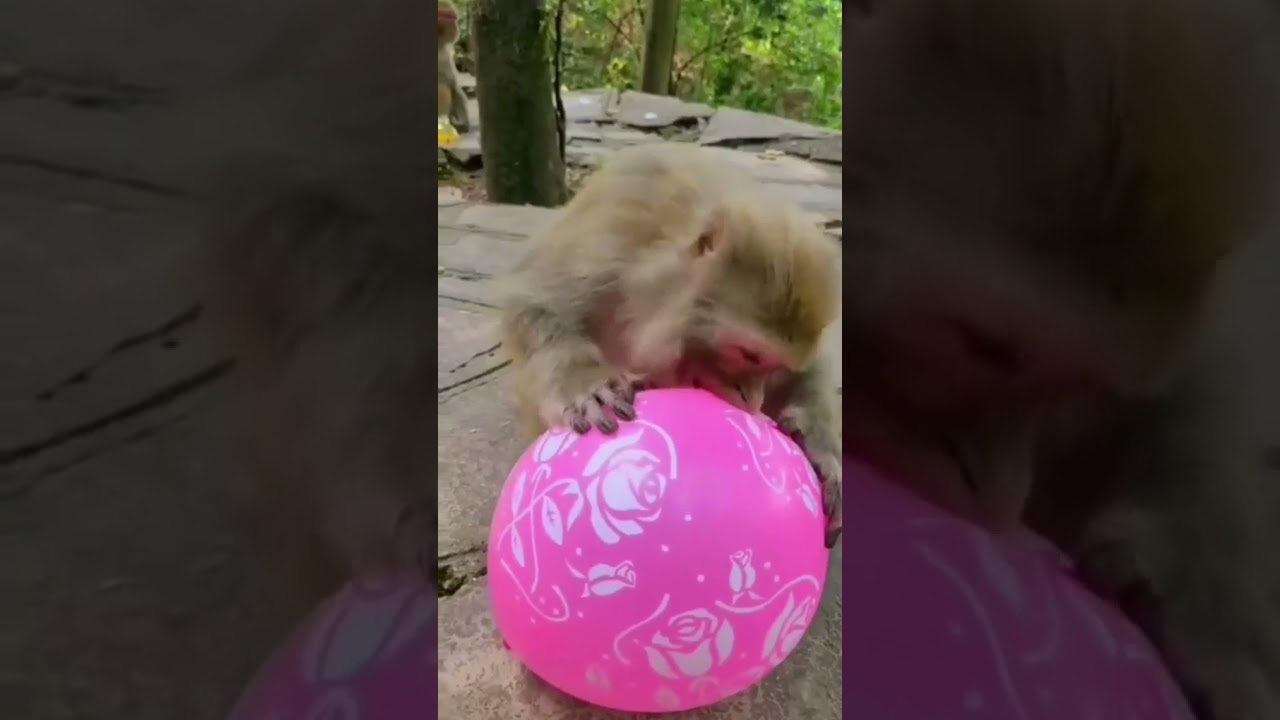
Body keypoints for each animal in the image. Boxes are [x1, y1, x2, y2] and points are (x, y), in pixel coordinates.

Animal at [494, 144, 845, 547]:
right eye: (749, 355)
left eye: (777, 366)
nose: (753, 400)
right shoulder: (608, 260)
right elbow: (534, 303)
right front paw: (587, 385)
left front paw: (820, 449)